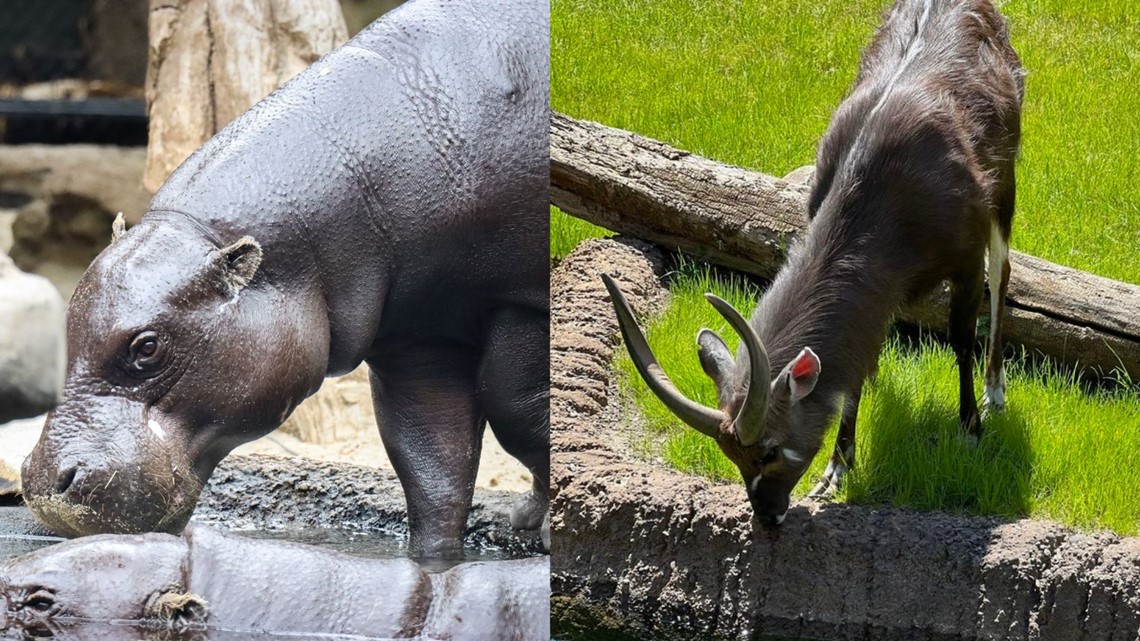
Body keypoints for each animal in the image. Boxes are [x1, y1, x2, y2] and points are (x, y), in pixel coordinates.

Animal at [21, 0, 550, 555]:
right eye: (66, 323)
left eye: (147, 348)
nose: (46, 486)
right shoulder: (415, 340)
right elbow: (429, 459)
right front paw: (435, 562)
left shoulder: (522, 301)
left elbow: (515, 410)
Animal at [604, 0, 1024, 525]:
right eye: (731, 455)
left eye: (769, 449)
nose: (767, 515)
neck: (884, 189)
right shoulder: (876, 294)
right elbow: (858, 362)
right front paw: (835, 471)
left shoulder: (965, 256)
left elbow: (962, 337)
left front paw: (971, 430)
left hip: (1004, 189)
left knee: (1002, 274)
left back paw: (995, 392)